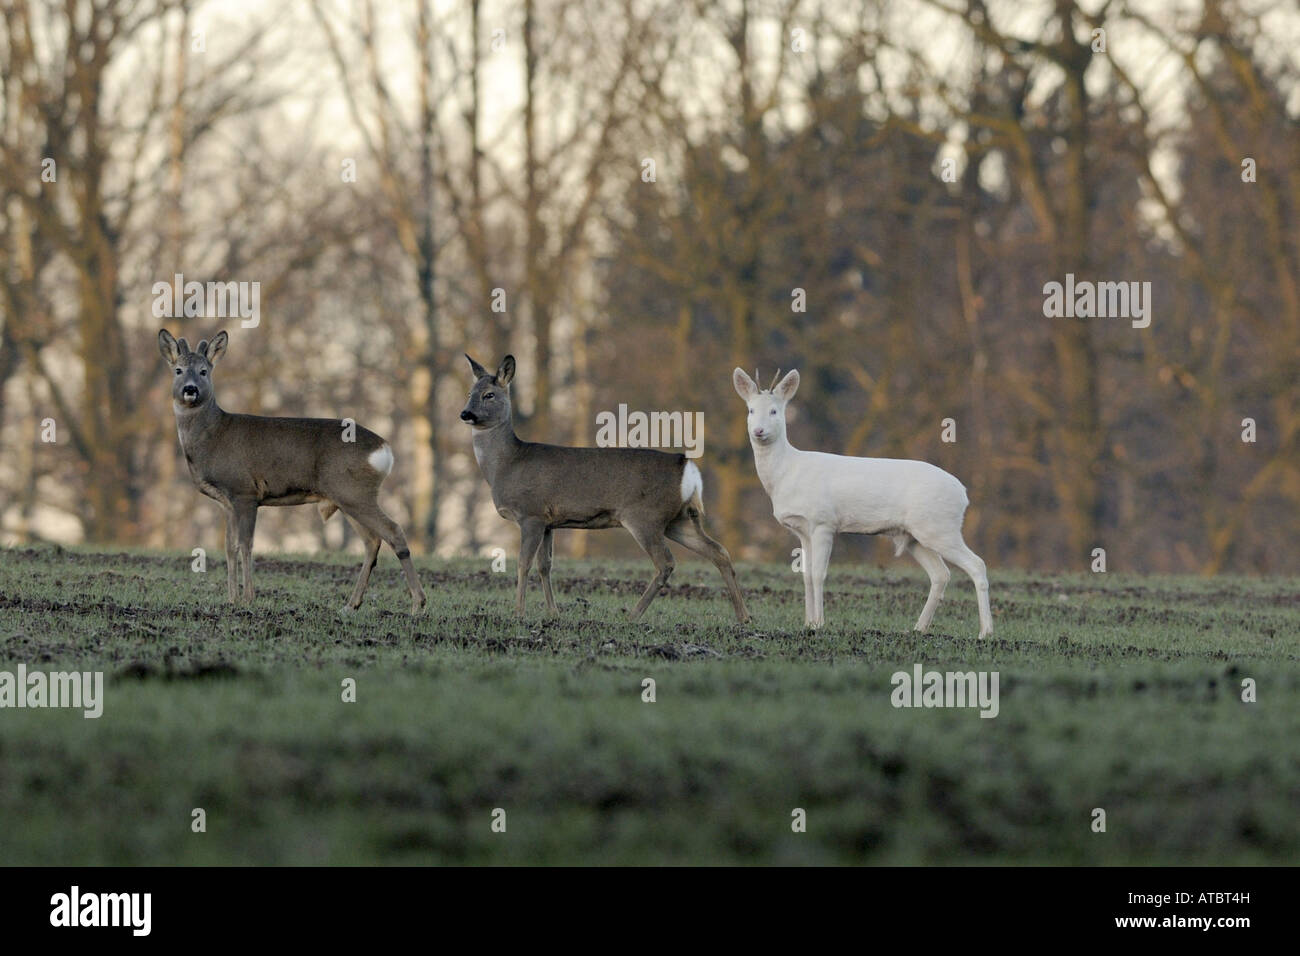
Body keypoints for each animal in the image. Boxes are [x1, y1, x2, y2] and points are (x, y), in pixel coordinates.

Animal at [157, 328, 426, 615]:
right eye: (178, 370)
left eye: (204, 371)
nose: (190, 389)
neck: (212, 436)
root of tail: (384, 449)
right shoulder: (226, 502)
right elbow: (229, 548)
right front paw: (231, 600)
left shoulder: (245, 492)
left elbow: (246, 545)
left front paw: (248, 598)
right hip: (347, 497)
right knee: (372, 541)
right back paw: (351, 605)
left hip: (354, 492)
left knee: (393, 531)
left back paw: (417, 604)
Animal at [460, 354, 750, 624]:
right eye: (469, 393)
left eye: (489, 394)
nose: (465, 413)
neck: (507, 464)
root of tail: (687, 467)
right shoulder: (549, 521)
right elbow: (545, 566)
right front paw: (554, 613)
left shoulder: (530, 513)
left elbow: (523, 564)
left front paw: (518, 613)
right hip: (679, 520)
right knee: (719, 552)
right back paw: (743, 616)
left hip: (645, 517)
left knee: (666, 563)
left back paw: (633, 614)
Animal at [733, 368, 992, 638]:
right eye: (750, 410)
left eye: (774, 410)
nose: (759, 431)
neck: (786, 472)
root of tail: (963, 494)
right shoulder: (802, 530)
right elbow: (805, 576)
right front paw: (808, 623)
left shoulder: (823, 521)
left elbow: (818, 574)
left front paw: (819, 623)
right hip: (917, 536)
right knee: (941, 574)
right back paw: (919, 628)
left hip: (939, 527)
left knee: (977, 565)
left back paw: (985, 632)